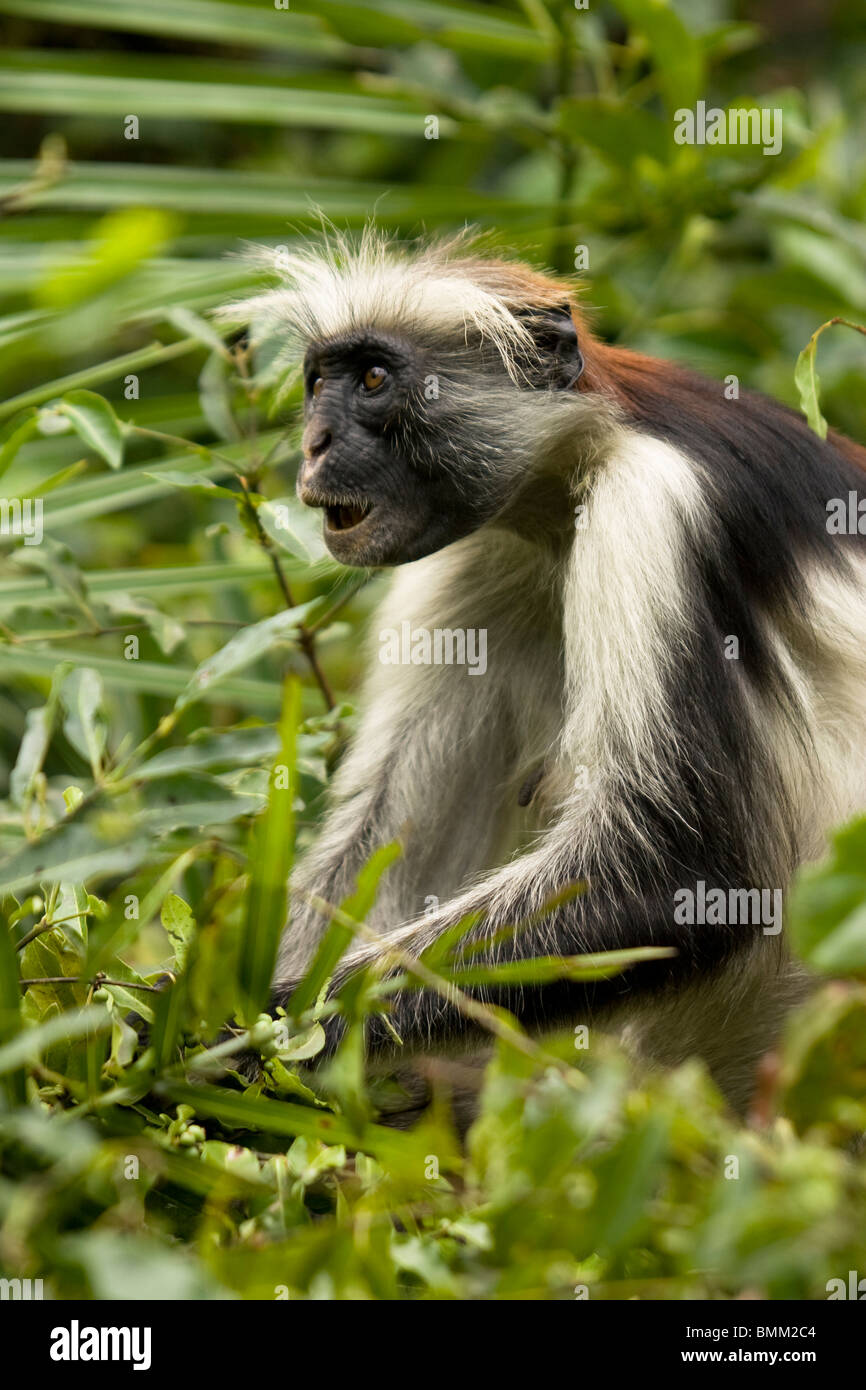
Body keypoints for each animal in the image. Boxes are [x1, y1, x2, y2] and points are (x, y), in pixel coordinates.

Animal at [219, 229, 866, 1121]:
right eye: (319, 383)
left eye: (376, 380)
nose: (314, 445)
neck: (590, 455)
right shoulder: (481, 550)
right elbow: (388, 842)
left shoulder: (654, 506)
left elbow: (685, 879)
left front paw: (258, 1032)